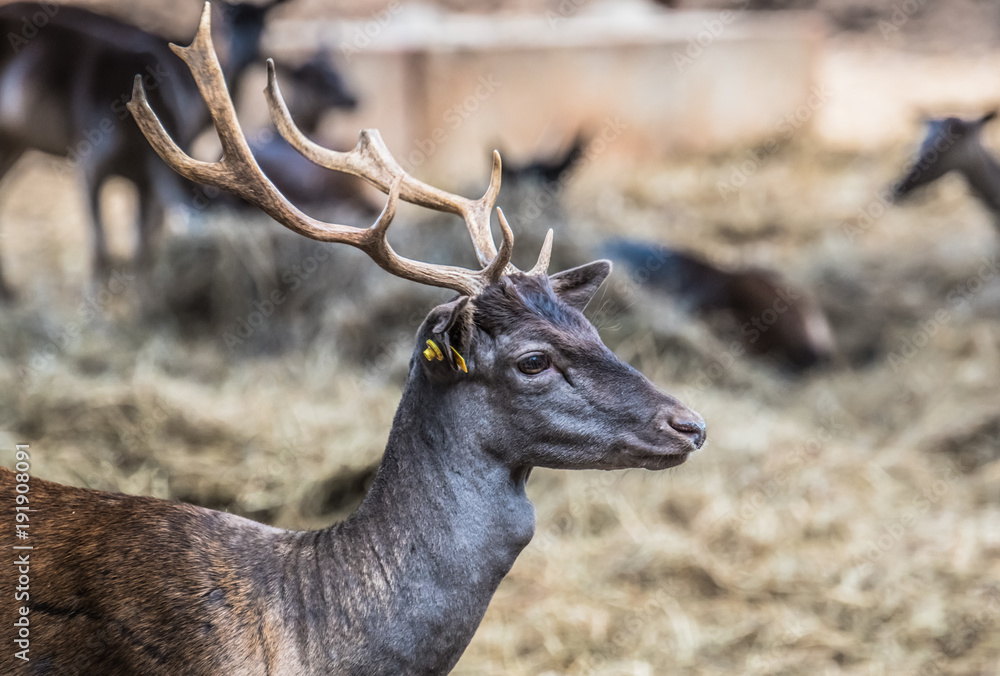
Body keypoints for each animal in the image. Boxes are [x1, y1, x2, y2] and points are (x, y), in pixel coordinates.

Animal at [0, 0, 295, 299]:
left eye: (263, 24)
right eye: (230, 20)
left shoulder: (146, 180)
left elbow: (142, 249)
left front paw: (143, 300)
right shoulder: (88, 160)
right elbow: (100, 247)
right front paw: (95, 302)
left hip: (15, 141)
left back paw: (8, 291)